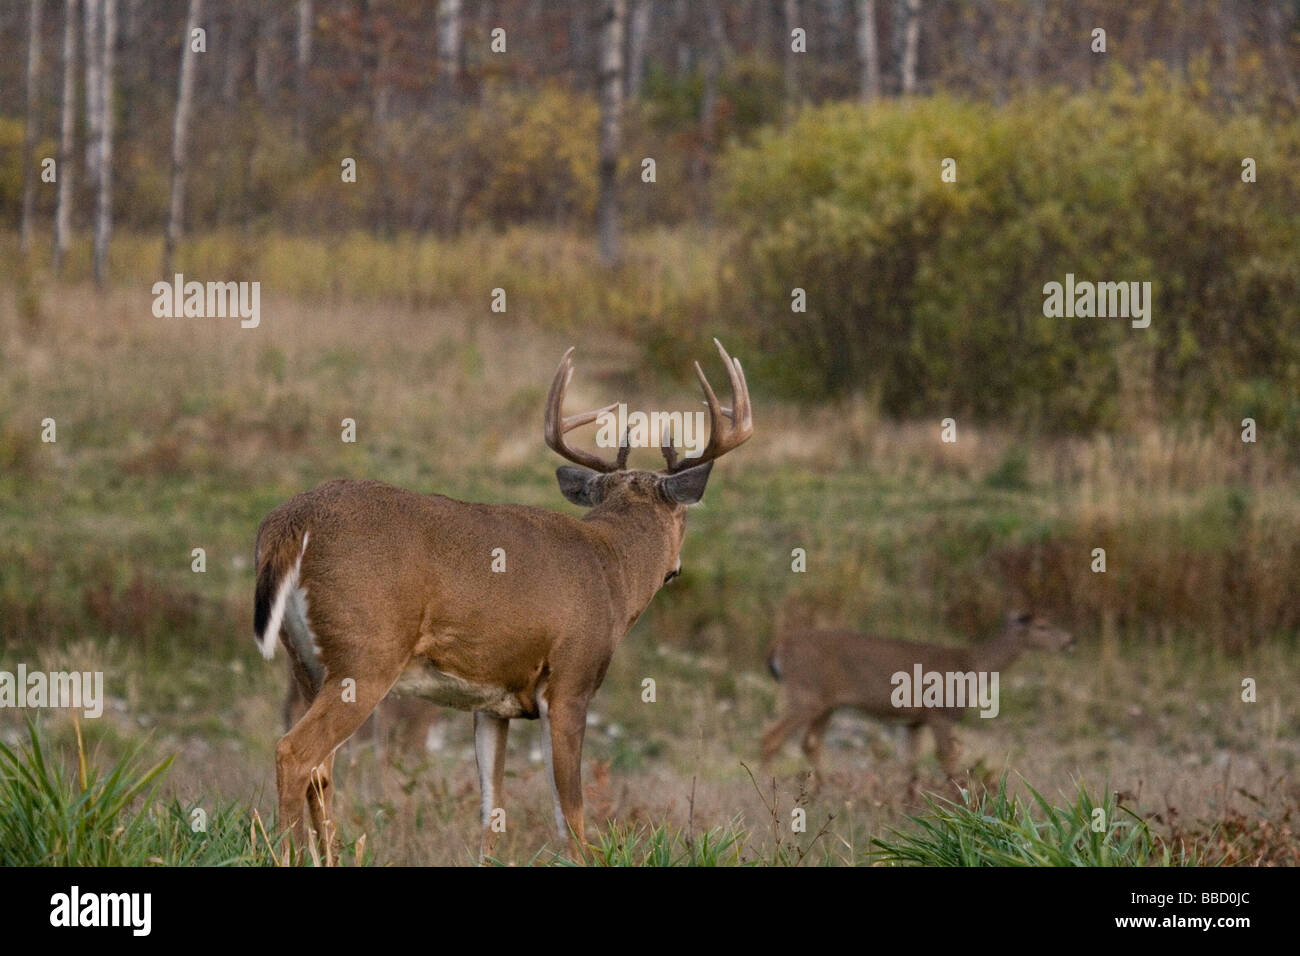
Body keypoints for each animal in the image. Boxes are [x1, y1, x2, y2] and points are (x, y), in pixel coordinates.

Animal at [253, 340, 753, 864]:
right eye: (684, 518)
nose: (676, 569)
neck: (613, 569)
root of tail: (288, 523)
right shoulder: (571, 680)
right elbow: (570, 815)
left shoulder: (492, 702)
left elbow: (491, 811)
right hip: (365, 654)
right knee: (295, 754)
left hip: (305, 663)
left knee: (321, 770)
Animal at [760, 612, 1073, 793]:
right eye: (1043, 625)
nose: (1070, 641)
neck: (972, 665)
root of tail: (777, 647)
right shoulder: (940, 713)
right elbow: (947, 757)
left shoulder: (914, 722)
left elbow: (912, 764)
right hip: (805, 695)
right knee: (771, 738)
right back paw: (768, 790)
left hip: (826, 705)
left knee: (810, 743)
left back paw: (823, 790)